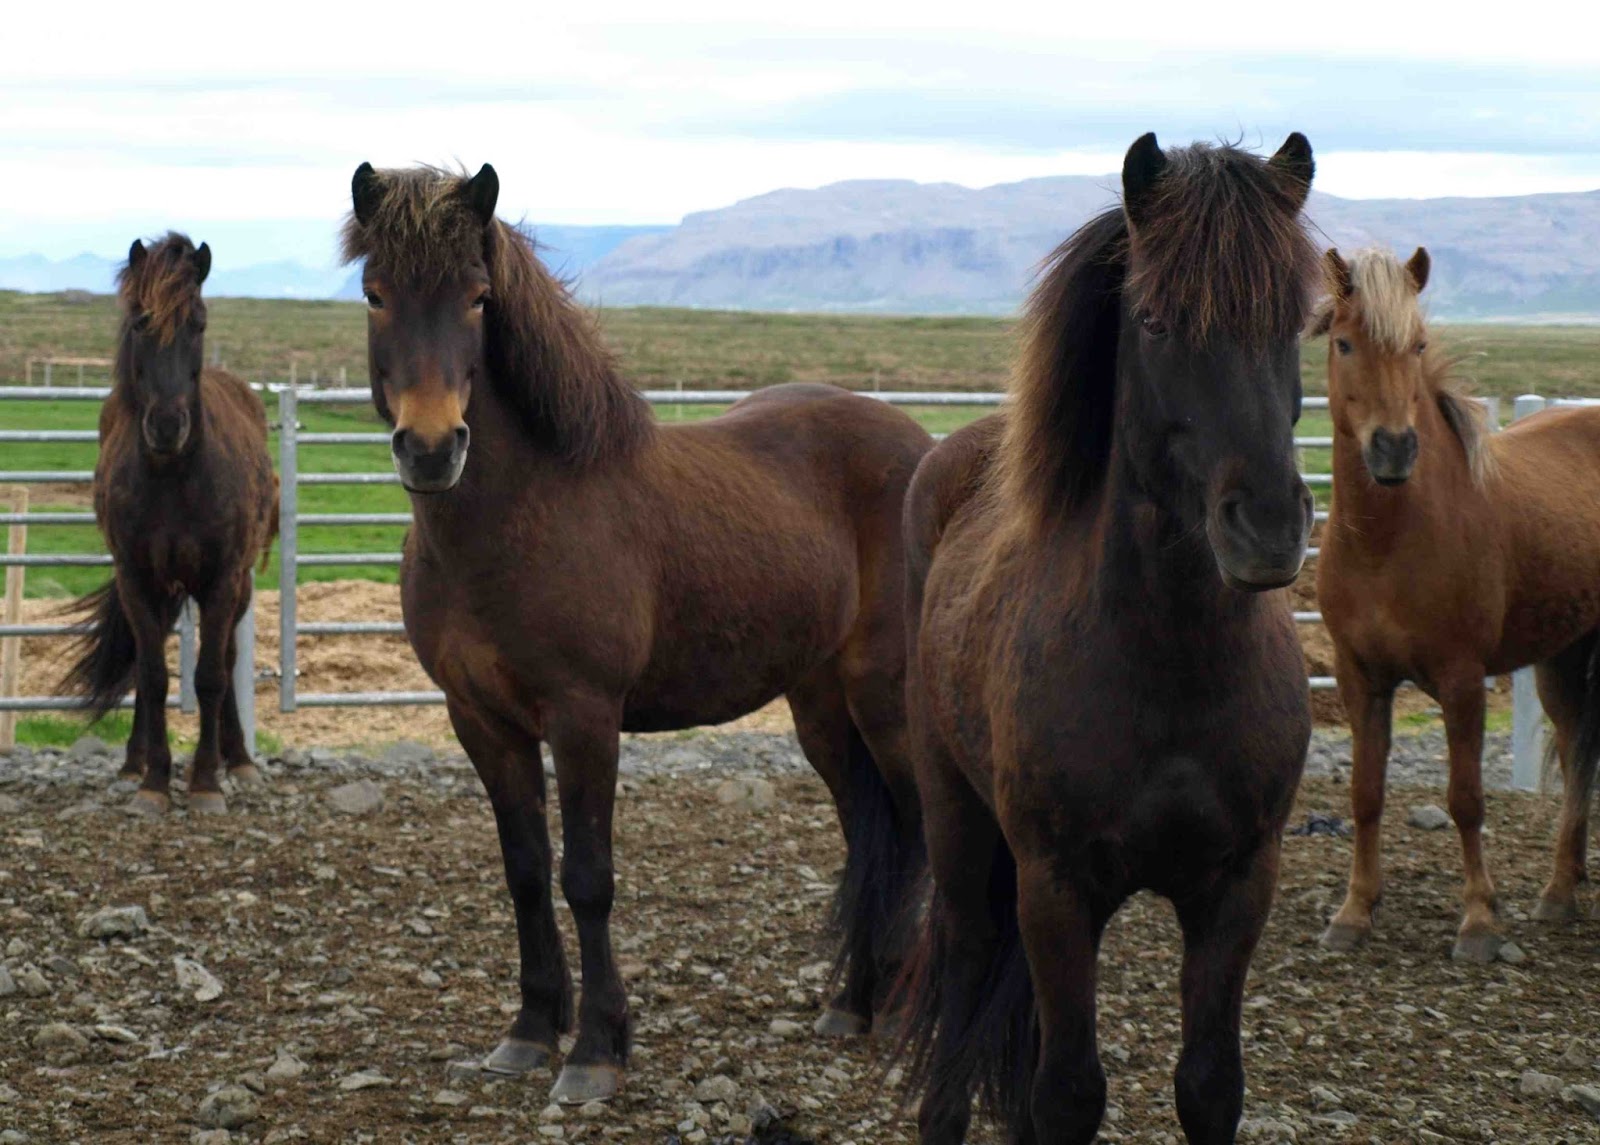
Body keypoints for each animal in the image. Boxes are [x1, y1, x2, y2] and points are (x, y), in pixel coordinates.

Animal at [61, 233, 278, 816]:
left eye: (197, 323)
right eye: (140, 323)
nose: (165, 426)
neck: (175, 476)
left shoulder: (222, 581)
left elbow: (210, 676)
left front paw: (204, 783)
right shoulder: (137, 579)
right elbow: (155, 675)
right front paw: (154, 781)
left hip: (238, 586)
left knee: (226, 660)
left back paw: (238, 759)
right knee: (147, 656)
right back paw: (134, 761)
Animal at [340, 162, 933, 1104]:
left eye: (477, 298)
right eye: (374, 293)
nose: (431, 448)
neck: (521, 514)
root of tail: (920, 448)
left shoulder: (585, 716)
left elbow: (588, 877)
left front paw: (595, 1049)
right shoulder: (482, 721)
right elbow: (524, 872)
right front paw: (529, 1031)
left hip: (885, 696)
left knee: (920, 834)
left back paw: (911, 1004)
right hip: (822, 710)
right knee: (870, 831)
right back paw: (854, 1004)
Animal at [895, 132, 1320, 1145]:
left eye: (1299, 321)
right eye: (1159, 320)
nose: (1269, 527)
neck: (1171, 663)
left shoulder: (1239, 884)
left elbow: (1209, 1084)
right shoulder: (1056, 888)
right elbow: (1067, 1094)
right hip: (958, 821)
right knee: (963, 967)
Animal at [1313, 245, 1600, 961]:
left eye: (1417, 344)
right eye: (1344, 342)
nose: (1393, 449)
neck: (1389, 543)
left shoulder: (1462, 680)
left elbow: (1467, 797)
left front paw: (1478, 921)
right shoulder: (1360, 679)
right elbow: (1365, 792)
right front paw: (1354, 911)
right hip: (1562, 656)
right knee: (1578, 750)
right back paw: (1560, 891)